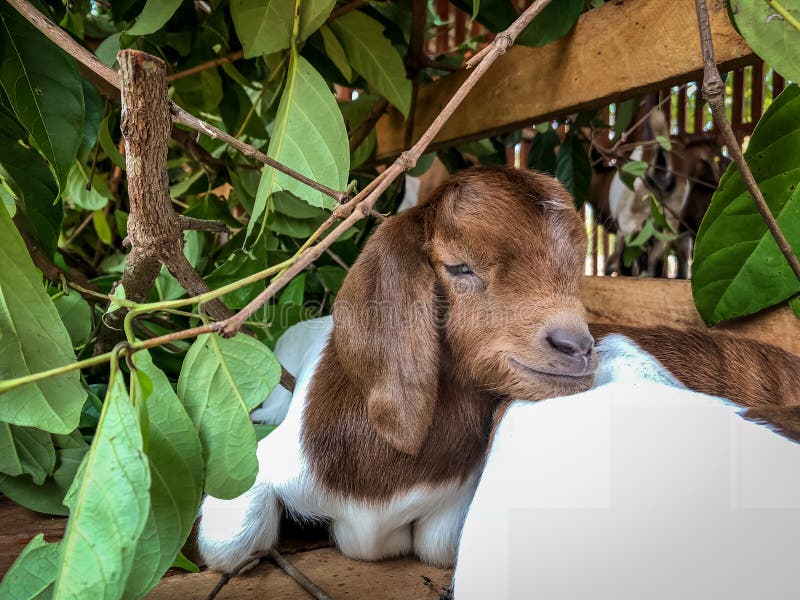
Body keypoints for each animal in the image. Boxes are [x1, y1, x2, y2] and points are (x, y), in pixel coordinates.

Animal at [198, 166, 800, 574]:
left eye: (574, 270)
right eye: (460, 267)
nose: (578, 346)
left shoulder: (450, 508)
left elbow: (438, 546)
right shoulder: (274, 465)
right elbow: (229, 541)